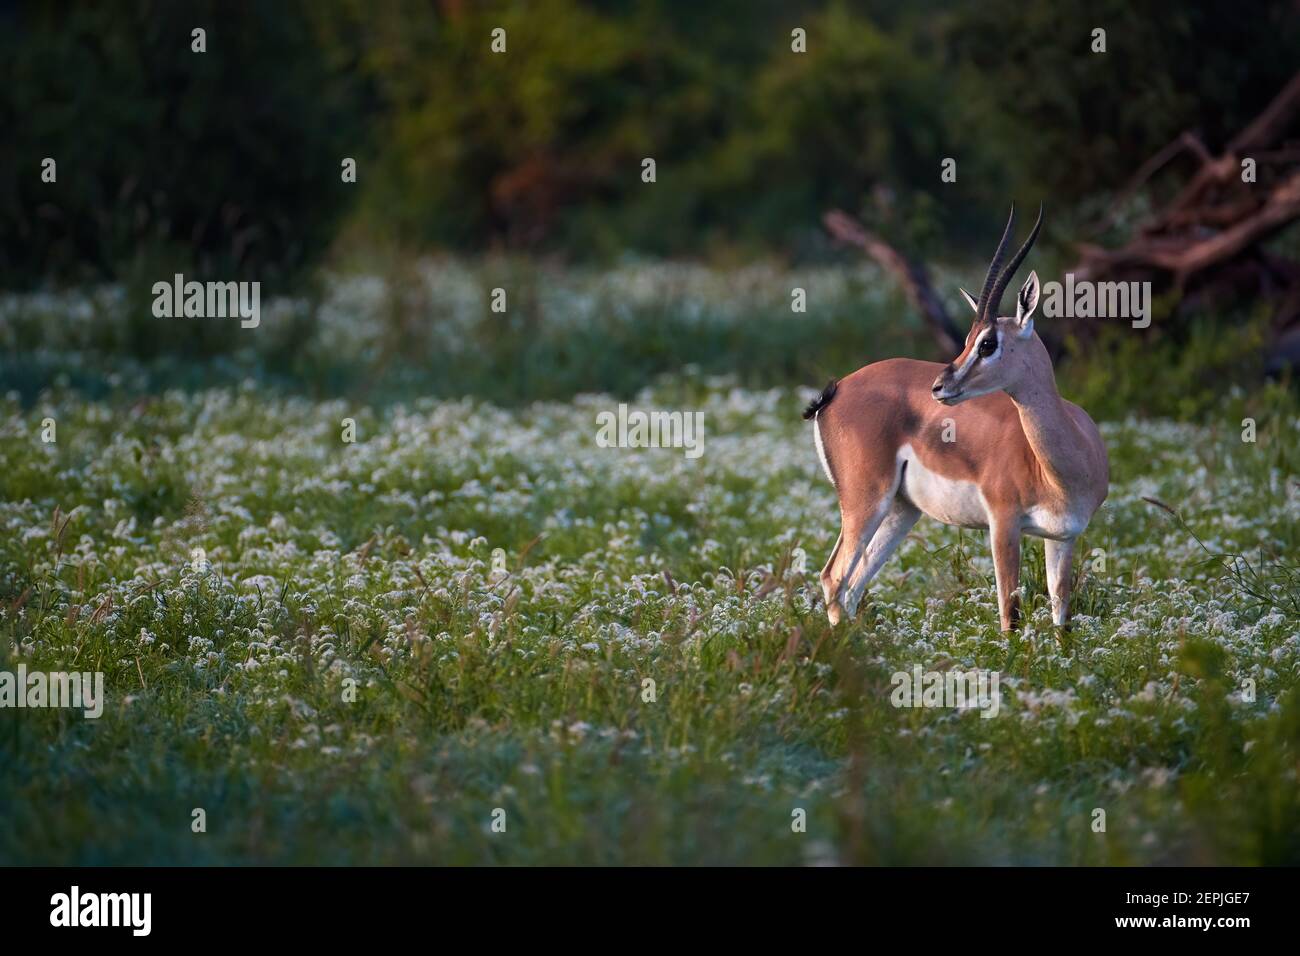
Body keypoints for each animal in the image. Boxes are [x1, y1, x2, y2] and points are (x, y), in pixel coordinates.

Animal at [805, 205, 1108, 631]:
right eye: (968, 340)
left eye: (987, 342)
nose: (940, 386)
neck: (1069, 460)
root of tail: (838, 389)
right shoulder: (1003, 523)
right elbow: (1010, 614)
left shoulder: (1063, 537)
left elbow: (1060, 614)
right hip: (866, 499)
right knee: (834, 576)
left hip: (901, 510)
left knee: (853, 583)